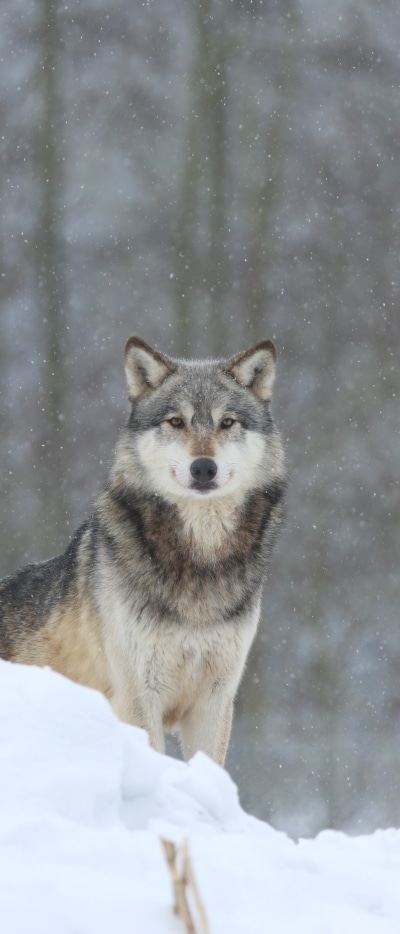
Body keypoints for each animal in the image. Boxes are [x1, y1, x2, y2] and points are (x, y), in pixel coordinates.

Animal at [0, 337, 286, 765]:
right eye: (176, 422)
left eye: (227, 422)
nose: (204, 468)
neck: (199, 560)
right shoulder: (138, 697)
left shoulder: (214, 702)